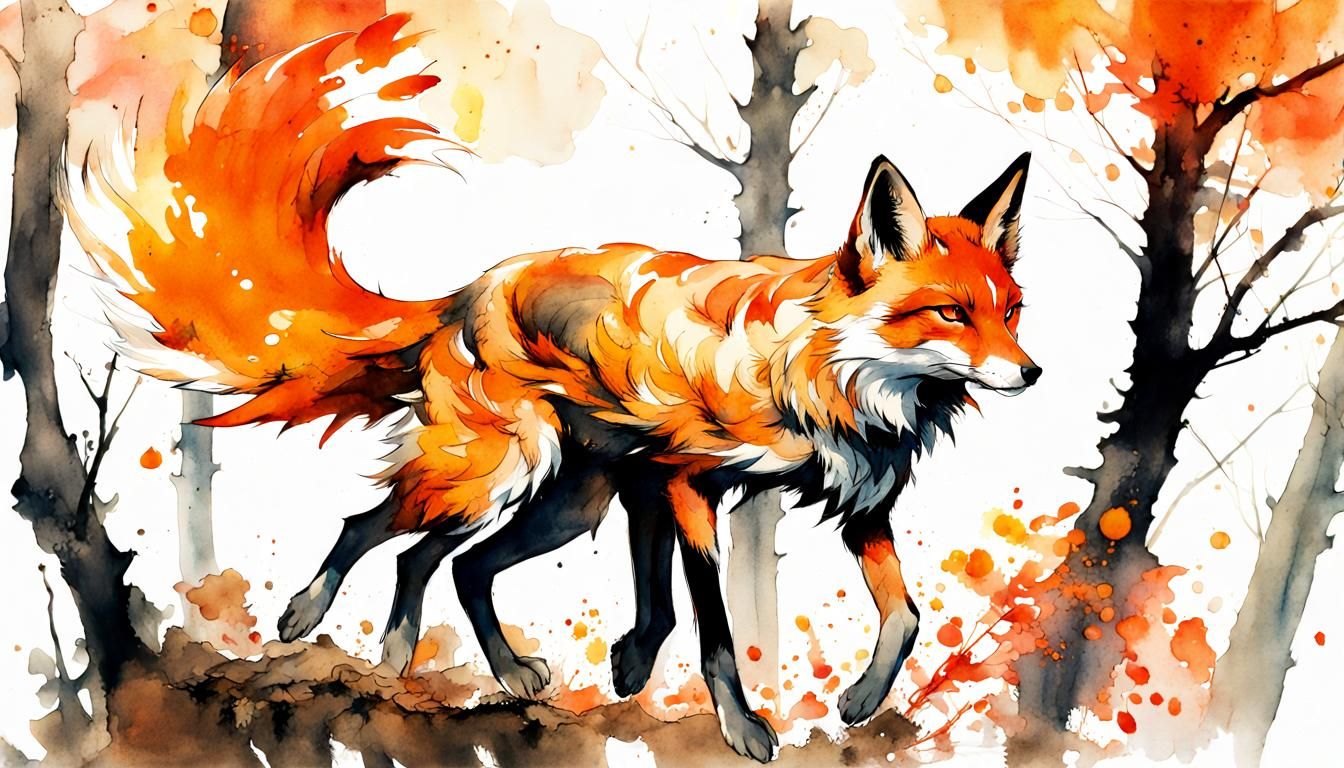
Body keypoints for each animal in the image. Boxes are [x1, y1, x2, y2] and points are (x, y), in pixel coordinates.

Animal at [68, 15, 1040, 762]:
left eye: (1011, 311)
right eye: (951, 313)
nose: (1032, 373)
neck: (815, 376)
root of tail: (466, 290)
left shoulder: (840, 498)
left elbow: (899, 616)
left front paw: (855, 699)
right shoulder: (686, 484)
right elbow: (715, 629)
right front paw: (741, 727)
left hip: (564, 503)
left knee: (445, 563)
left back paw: (428, 661)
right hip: (496, 471)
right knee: (373, 528)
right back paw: (314, 616)